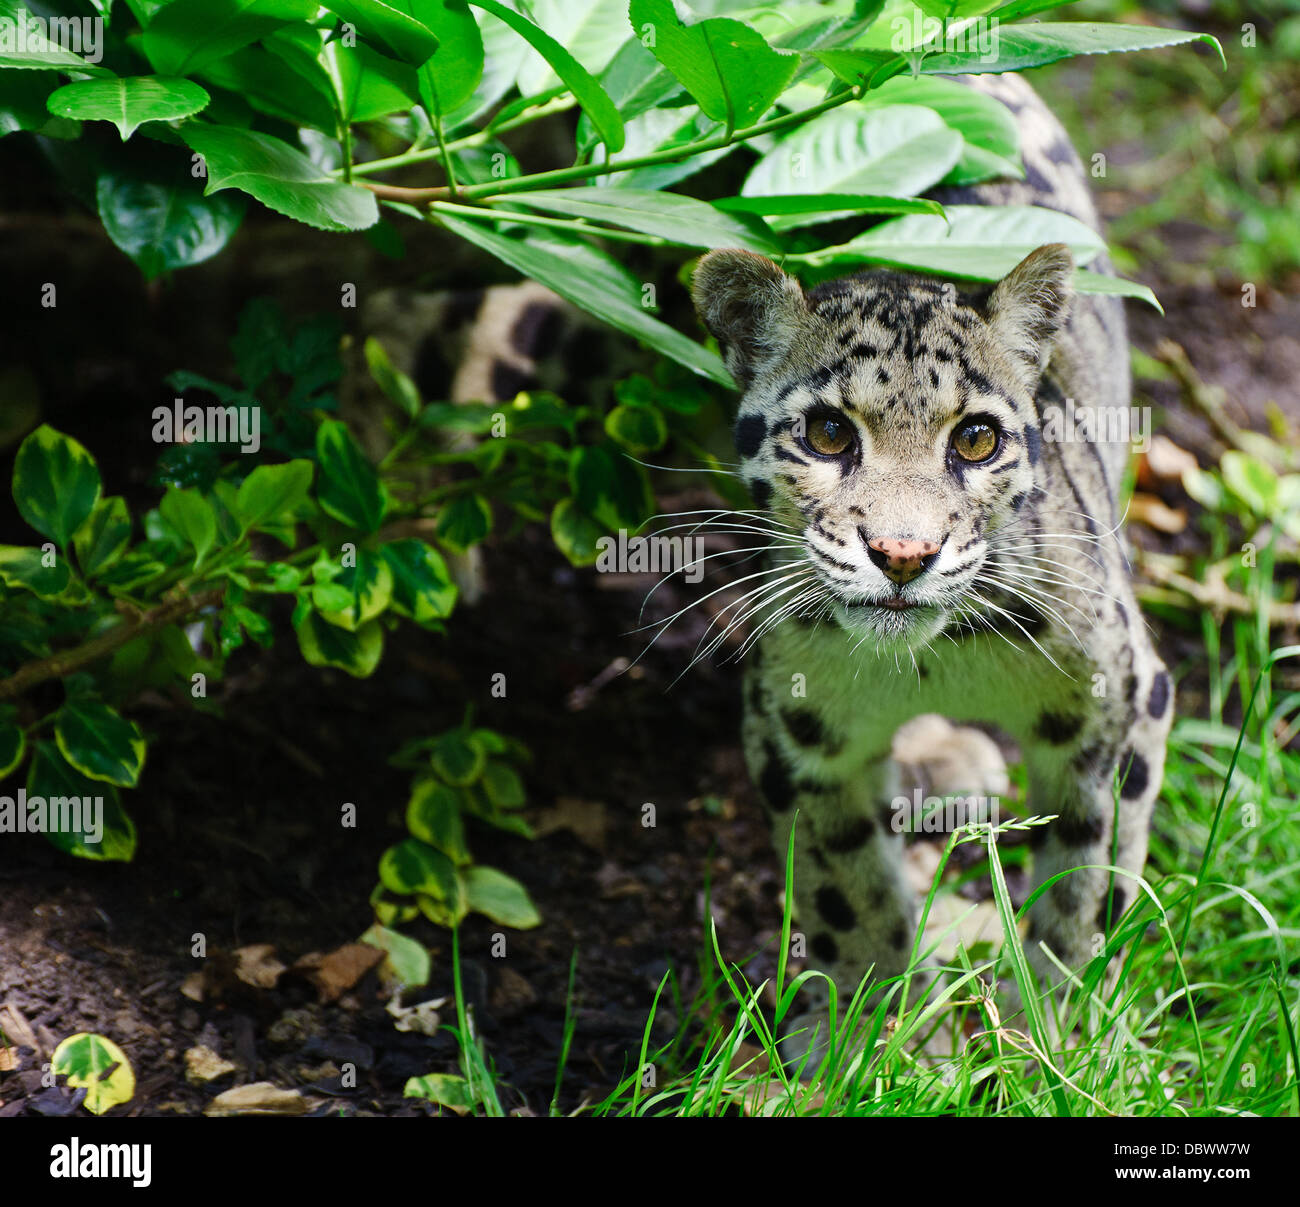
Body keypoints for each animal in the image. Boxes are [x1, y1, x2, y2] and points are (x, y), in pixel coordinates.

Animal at [690, 72, 1174, 1056]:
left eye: (978, 438)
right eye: (827, 432)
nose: (903, 553)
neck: (936, 660)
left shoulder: (1123, 696)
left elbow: (1088, 876)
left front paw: (1056, 1032)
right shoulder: (794, 730)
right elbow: (846, 886)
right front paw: (861, 1032)